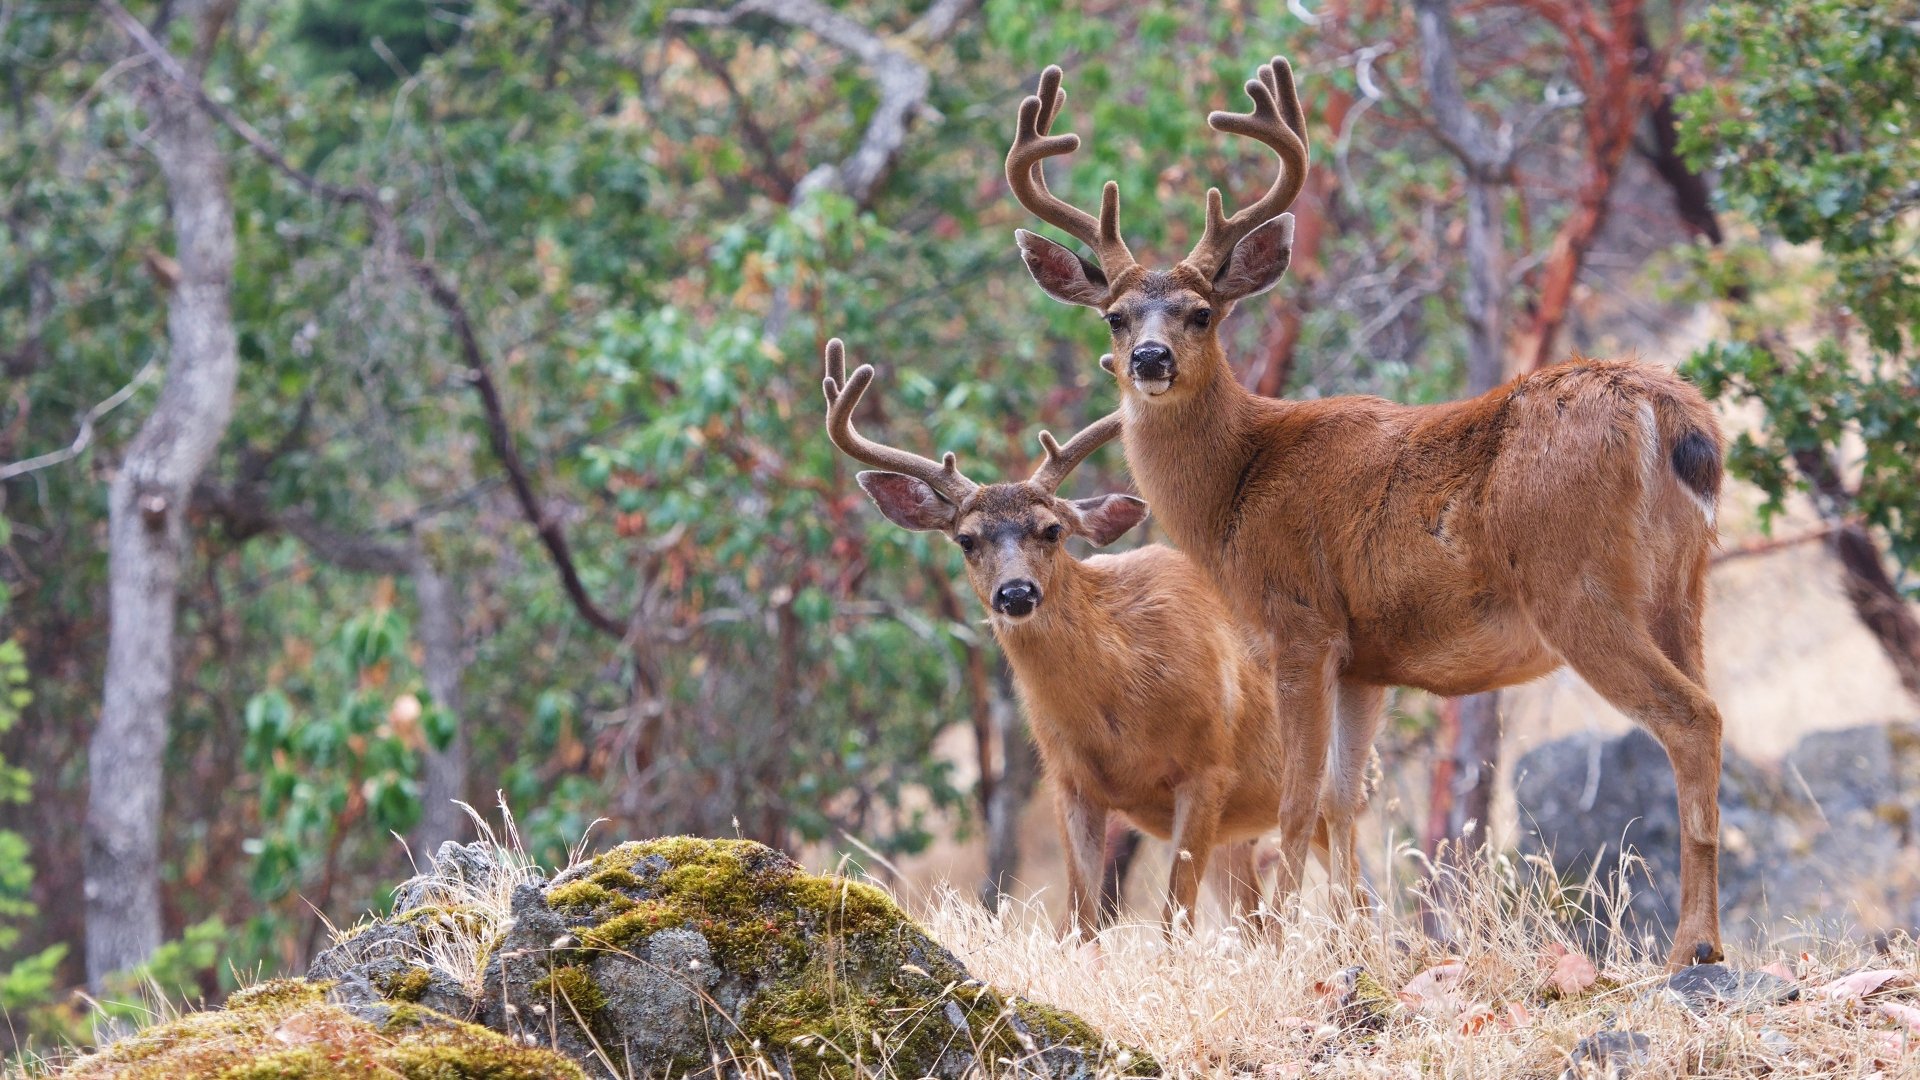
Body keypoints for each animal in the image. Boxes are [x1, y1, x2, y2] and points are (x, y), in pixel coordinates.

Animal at [822, 338, 1359, 938]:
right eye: (965, 539)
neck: (1120, 708)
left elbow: (1174, 918)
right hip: (1237, 833)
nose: (1016, 593)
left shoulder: (1208, 769)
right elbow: (1078, 921)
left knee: (1353, 893)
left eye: (1052, 529)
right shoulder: (1069, 782)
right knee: (1255, 924)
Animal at [1004, 58, 1729, 968]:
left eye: (1203, 311)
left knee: (1691, 717)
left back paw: (1690, 947)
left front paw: (1283, 947)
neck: (1235, 488)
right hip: (1685, 582)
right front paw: (1358, 945)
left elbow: (1296, 800)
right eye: (1115, 314)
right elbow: (1342, 801)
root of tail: (1672, 414)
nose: (1149, 359)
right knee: (1711, 707)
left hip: (1577, 585)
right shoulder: (1366, 661)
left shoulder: (1300, 622)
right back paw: (1709, 939)